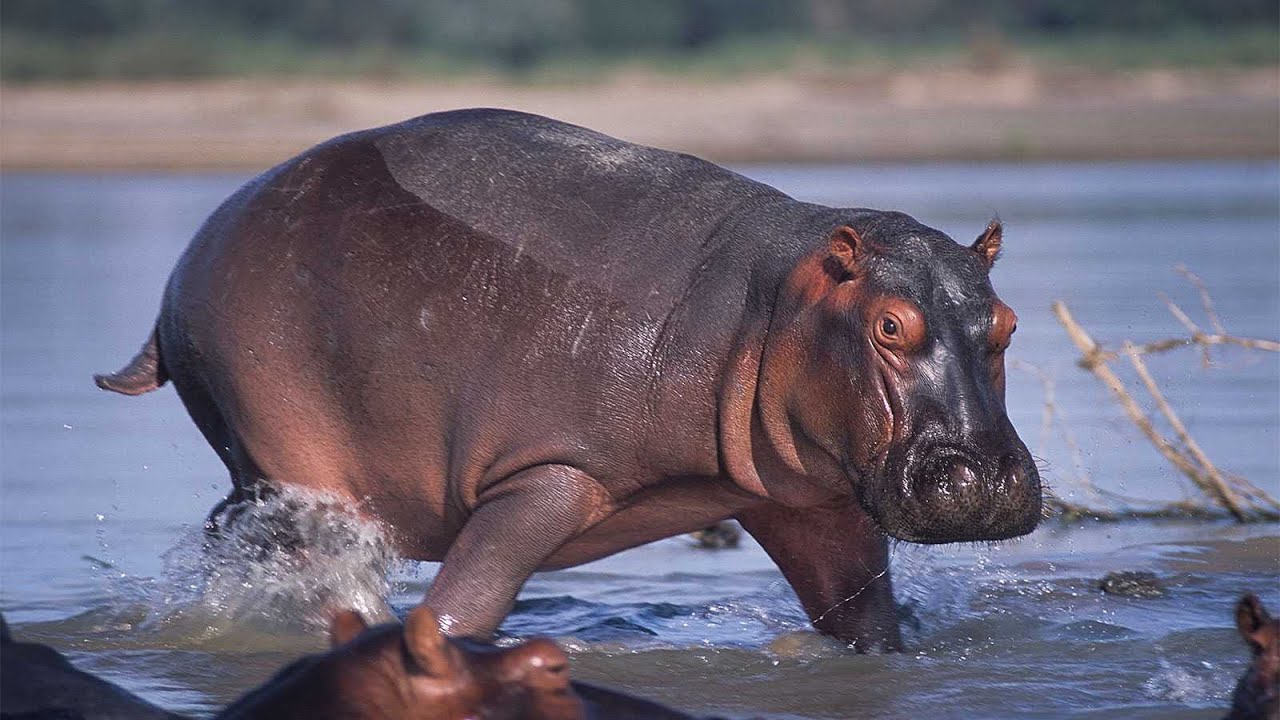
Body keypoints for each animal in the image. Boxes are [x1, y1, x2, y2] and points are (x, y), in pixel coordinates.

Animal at [96, 108, 1042, 650]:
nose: (989, 476)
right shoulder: (548, 476)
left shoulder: (812, 502)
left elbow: (865, 622)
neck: (769, 301)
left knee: (229, 533)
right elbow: (458, 613)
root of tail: (190, 258)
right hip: (291, 461)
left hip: (255, 475)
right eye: (890, 326)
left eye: (1006, 324)